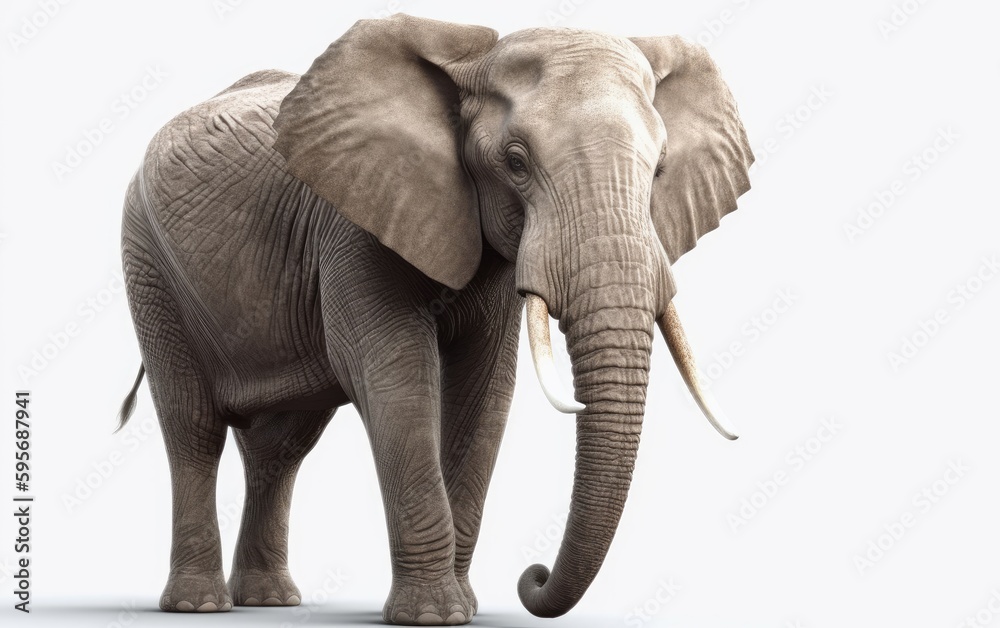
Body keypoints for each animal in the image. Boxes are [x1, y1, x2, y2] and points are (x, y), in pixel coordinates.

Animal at [116, 13, 753, 625]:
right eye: (515, 162)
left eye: (660, 169)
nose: (533, 576)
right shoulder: (355, 220)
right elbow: (396, 377)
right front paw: (432, 616)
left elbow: (485, 388)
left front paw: (462, 608)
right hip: (148, 263)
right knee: (193, 428)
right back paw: (199, 605)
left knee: (281, 447)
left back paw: (269, 600)